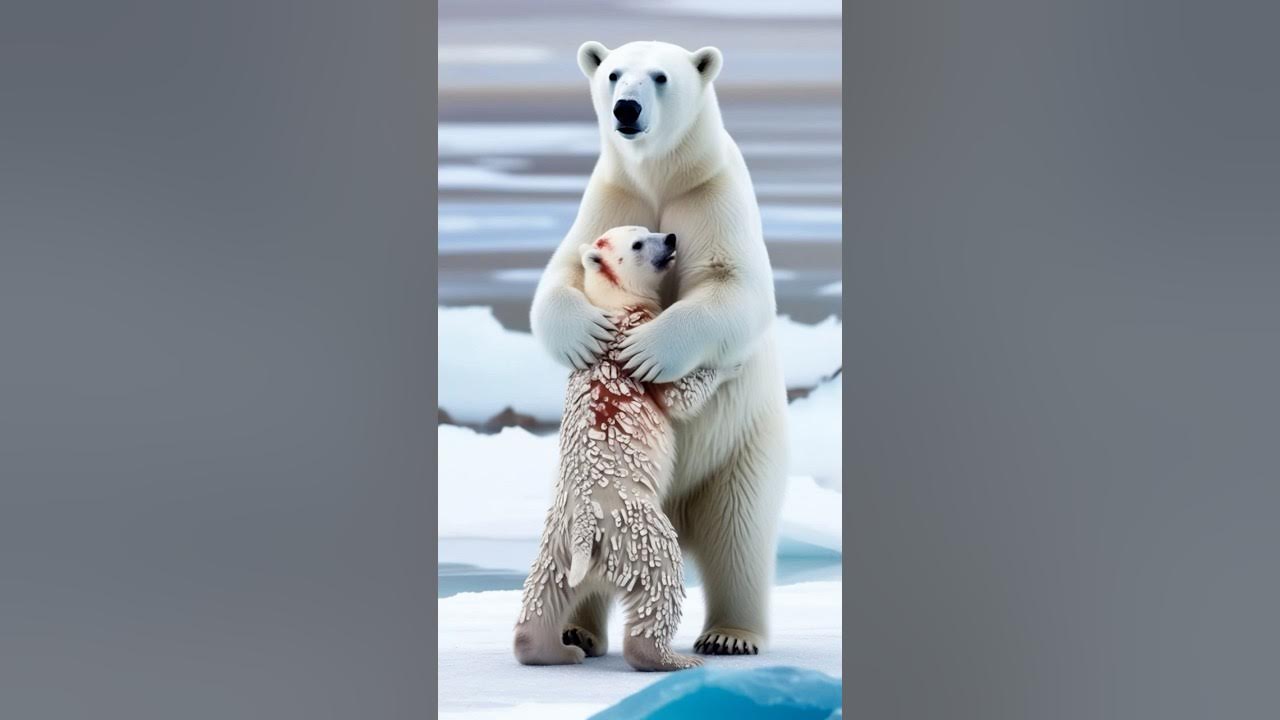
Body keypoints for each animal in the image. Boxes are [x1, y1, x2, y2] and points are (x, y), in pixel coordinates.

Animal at [514, 225, 726, 672]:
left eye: (647, 232)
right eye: (638, 243)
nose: (671, 237)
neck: (615, 308)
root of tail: (585, 532)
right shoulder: (640, 346)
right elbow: (679, 395)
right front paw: (725, 365)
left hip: (557, 543)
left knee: (543, 592)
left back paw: (555, 650)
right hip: (635, 530)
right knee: (661, 578)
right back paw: (673, 659)